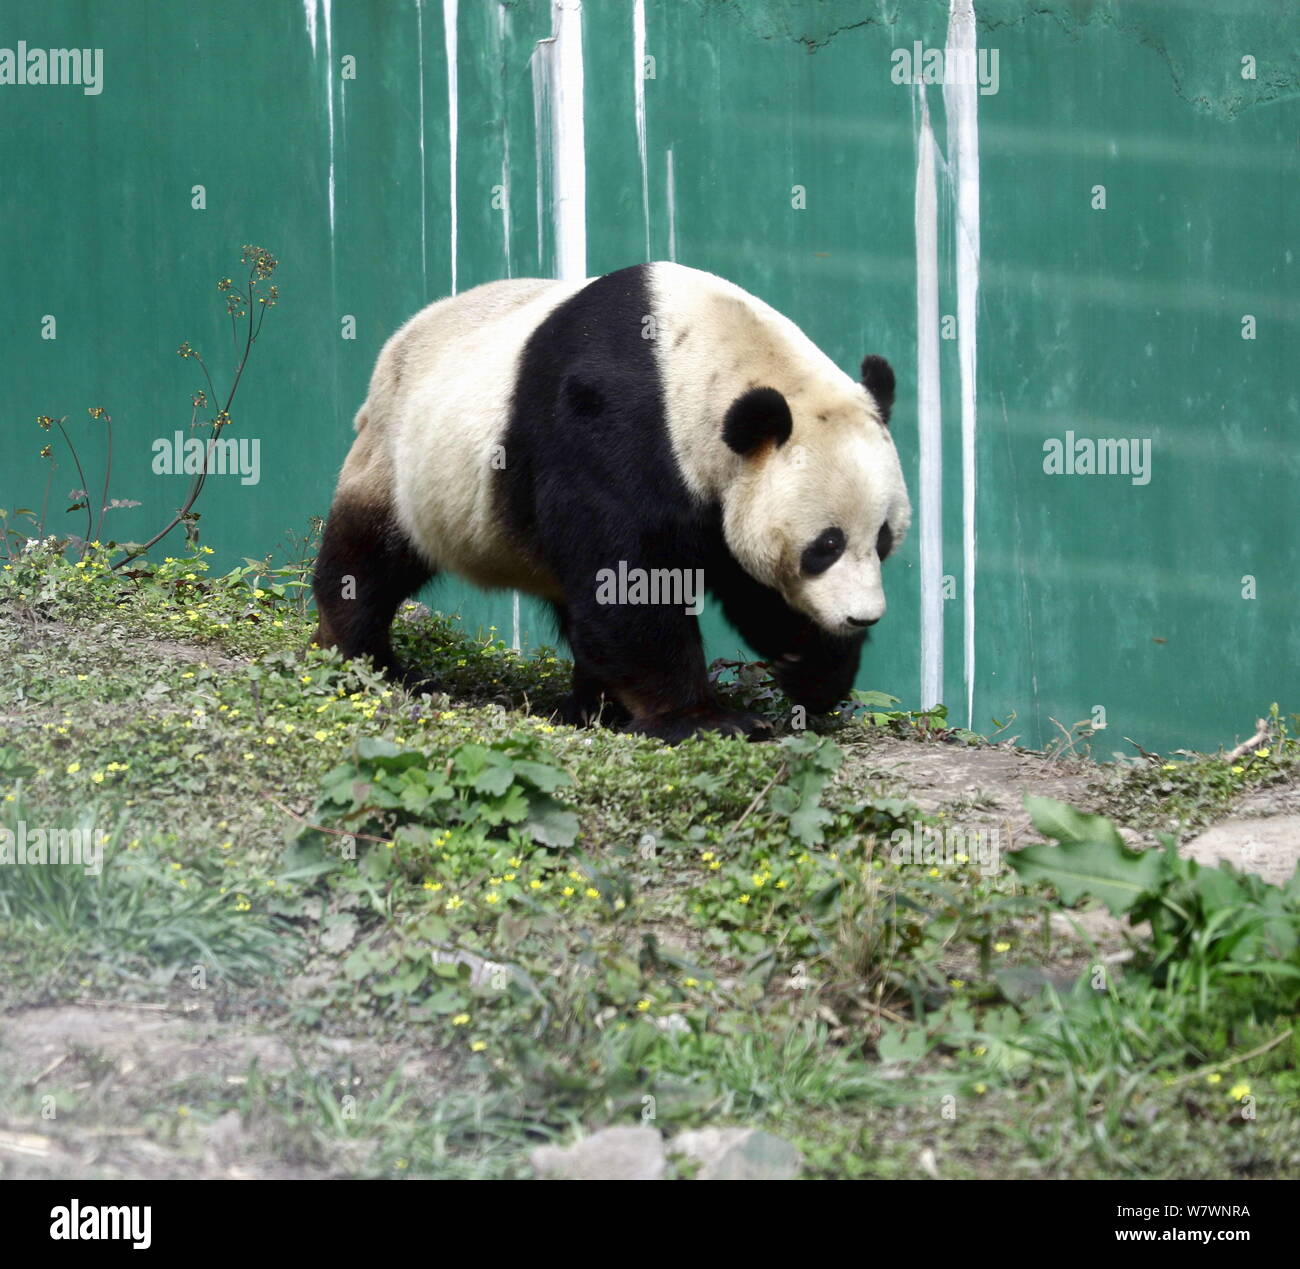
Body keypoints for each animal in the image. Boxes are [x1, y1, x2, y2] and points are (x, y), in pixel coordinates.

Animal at [313, 262, 911, 743]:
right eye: (825, 545)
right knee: (369, 557)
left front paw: (813, 670)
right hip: (404, 456)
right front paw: (708, 720)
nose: (862, 616)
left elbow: (747, 580)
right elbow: (627, 584)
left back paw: (591, 706)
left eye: (883, 539)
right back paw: (365, 660)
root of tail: (399, 340)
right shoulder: (609, 424)